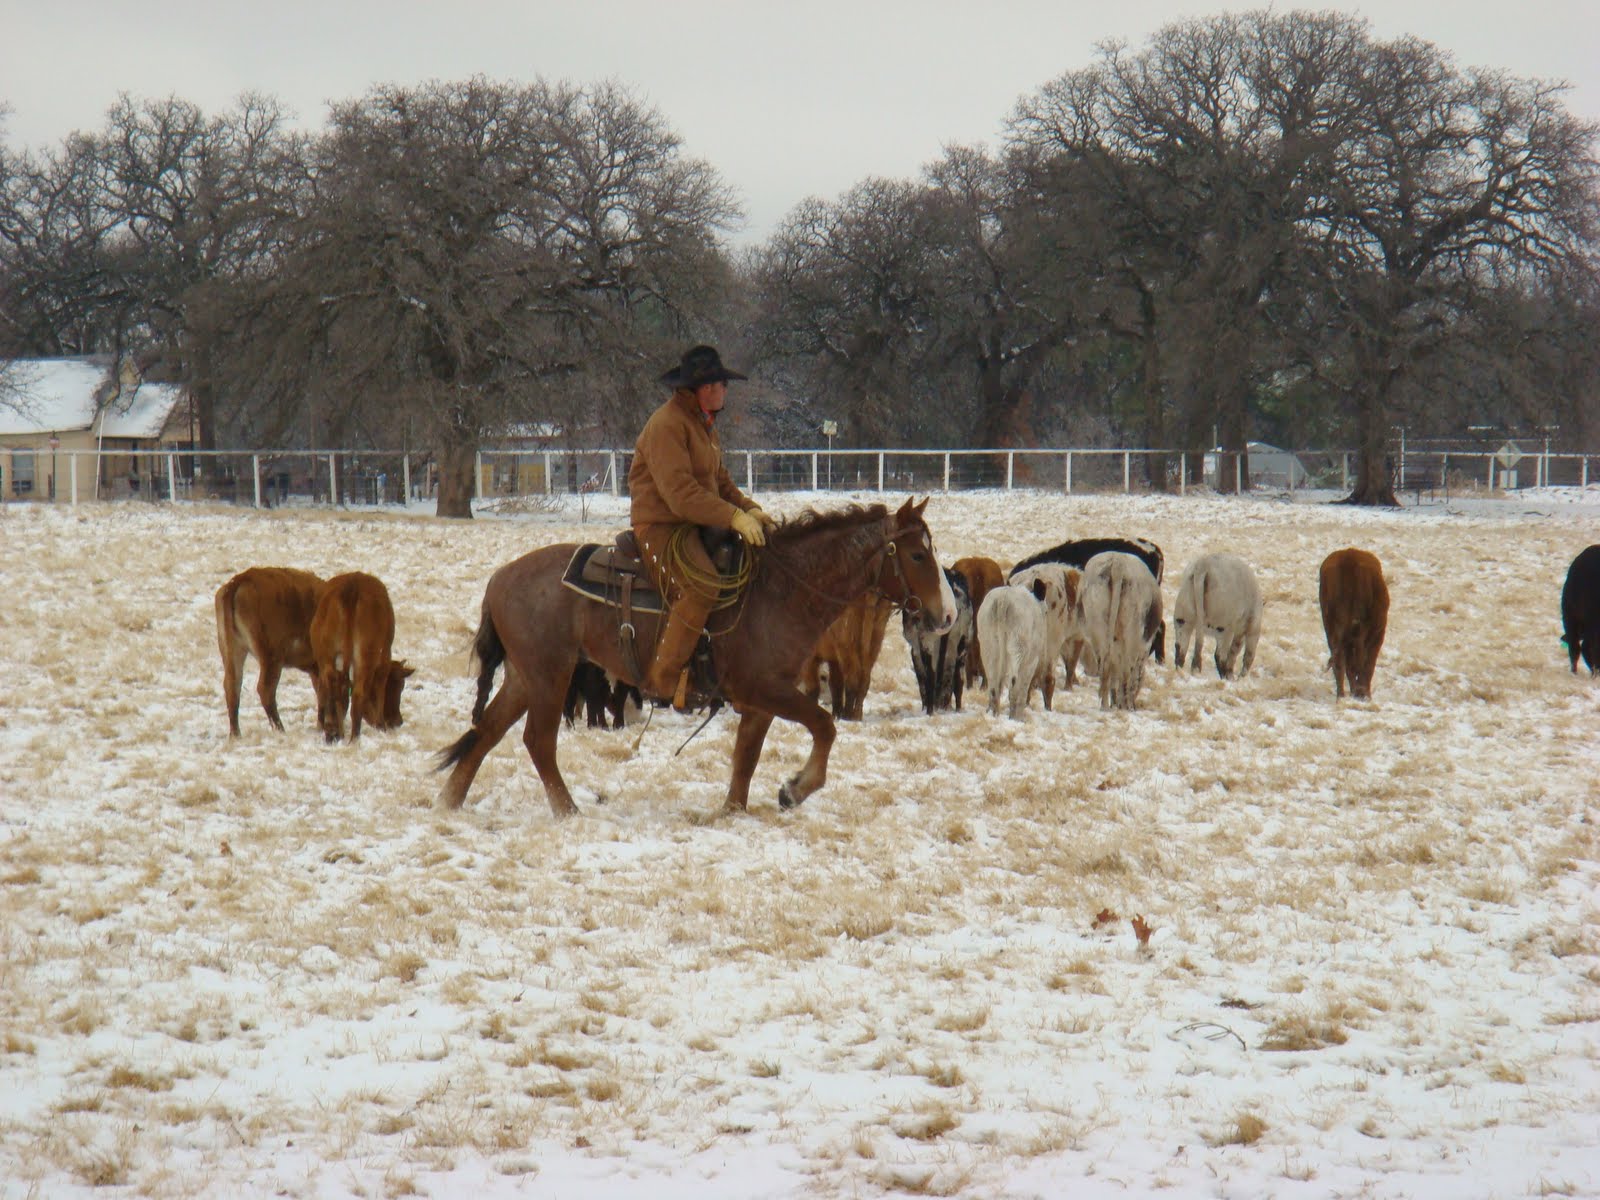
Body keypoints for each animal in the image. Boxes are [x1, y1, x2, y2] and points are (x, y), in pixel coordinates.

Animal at [437, 497, 956, 818]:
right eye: (915, 555)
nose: (948, 615)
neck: (779, 592)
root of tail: (500, 578)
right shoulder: (766, 689)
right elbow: (825, 725)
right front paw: (795, 789)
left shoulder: (762, 701)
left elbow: (746, 758)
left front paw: (734, 810)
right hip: (550, 675)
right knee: (537, 741)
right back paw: (567, 811)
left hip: (526, 677)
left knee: (488, 731)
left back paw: (450, 800)